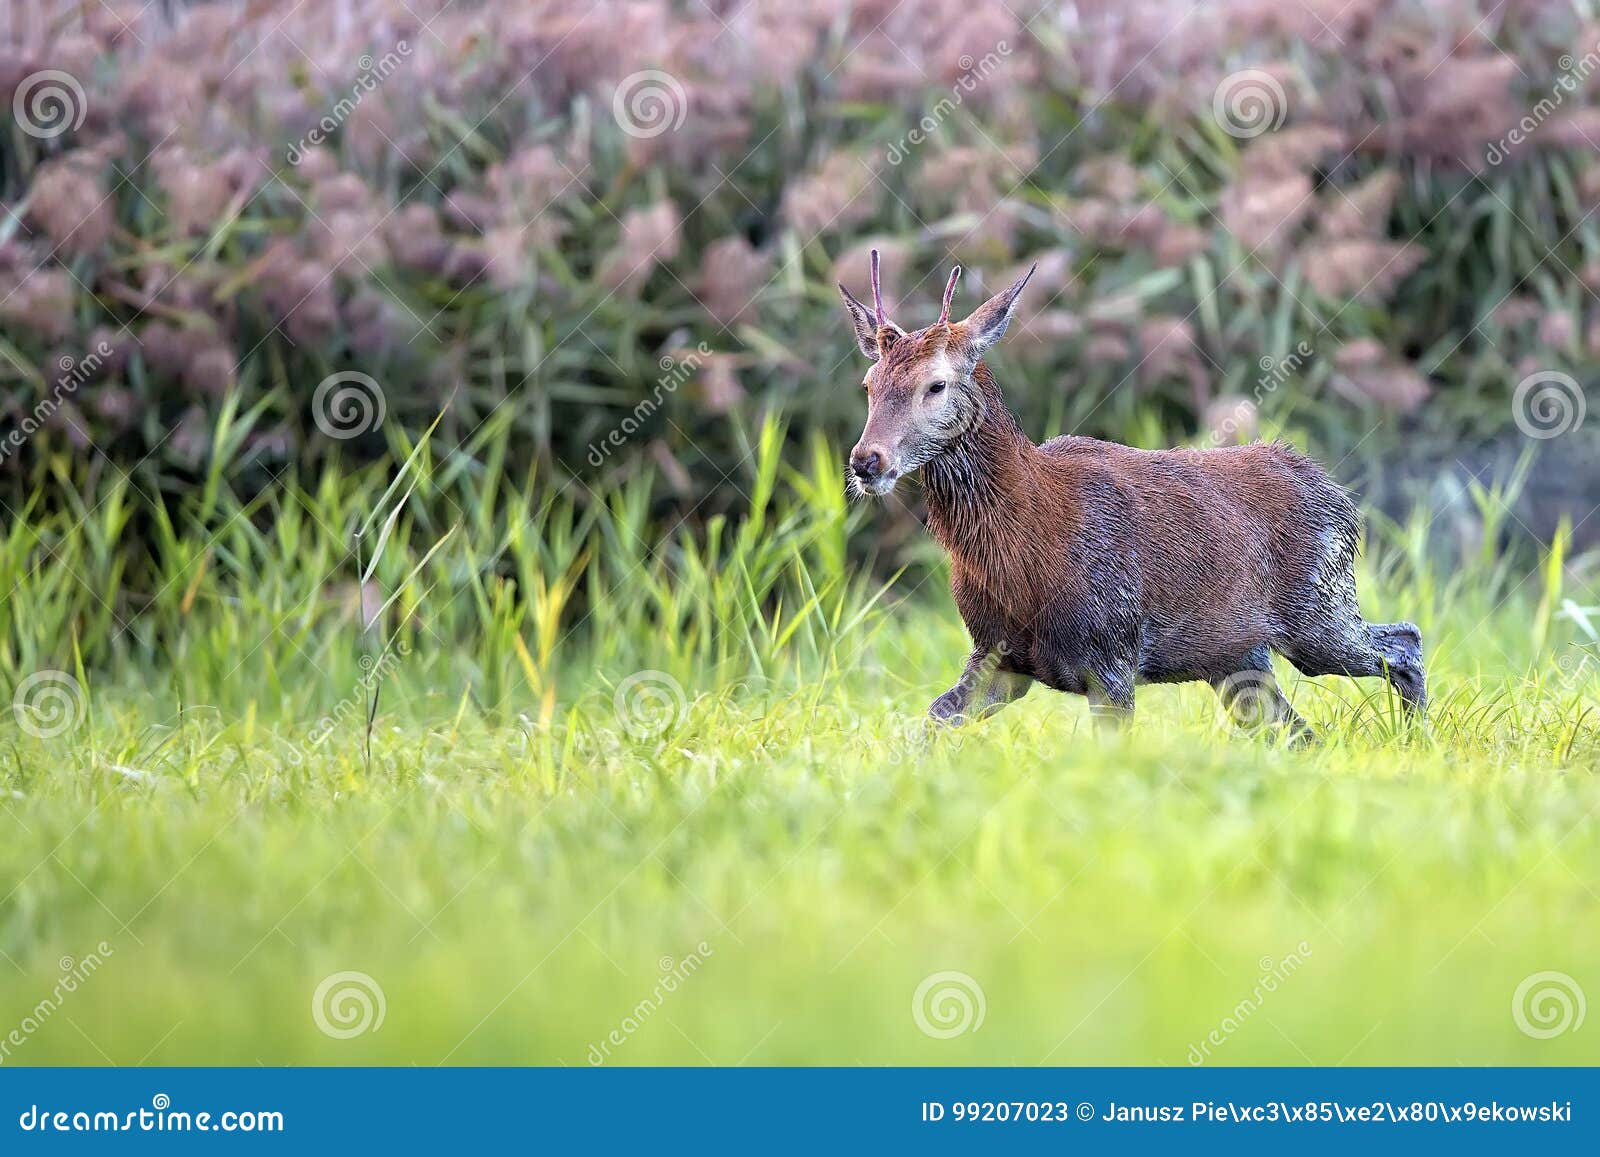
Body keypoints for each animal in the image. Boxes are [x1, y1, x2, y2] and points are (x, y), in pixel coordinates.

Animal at [837, 252, 1426, 741]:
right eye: (867, 384)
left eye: (935, 384)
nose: (867, 461)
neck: (1023, 544)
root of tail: (1338, 496)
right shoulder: (1000, 656)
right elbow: (930, 723)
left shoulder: (1112, 653)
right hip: (1240, 656)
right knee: (1300, 732)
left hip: (1317, 610)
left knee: (1405, 640)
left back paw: (1418, 741)